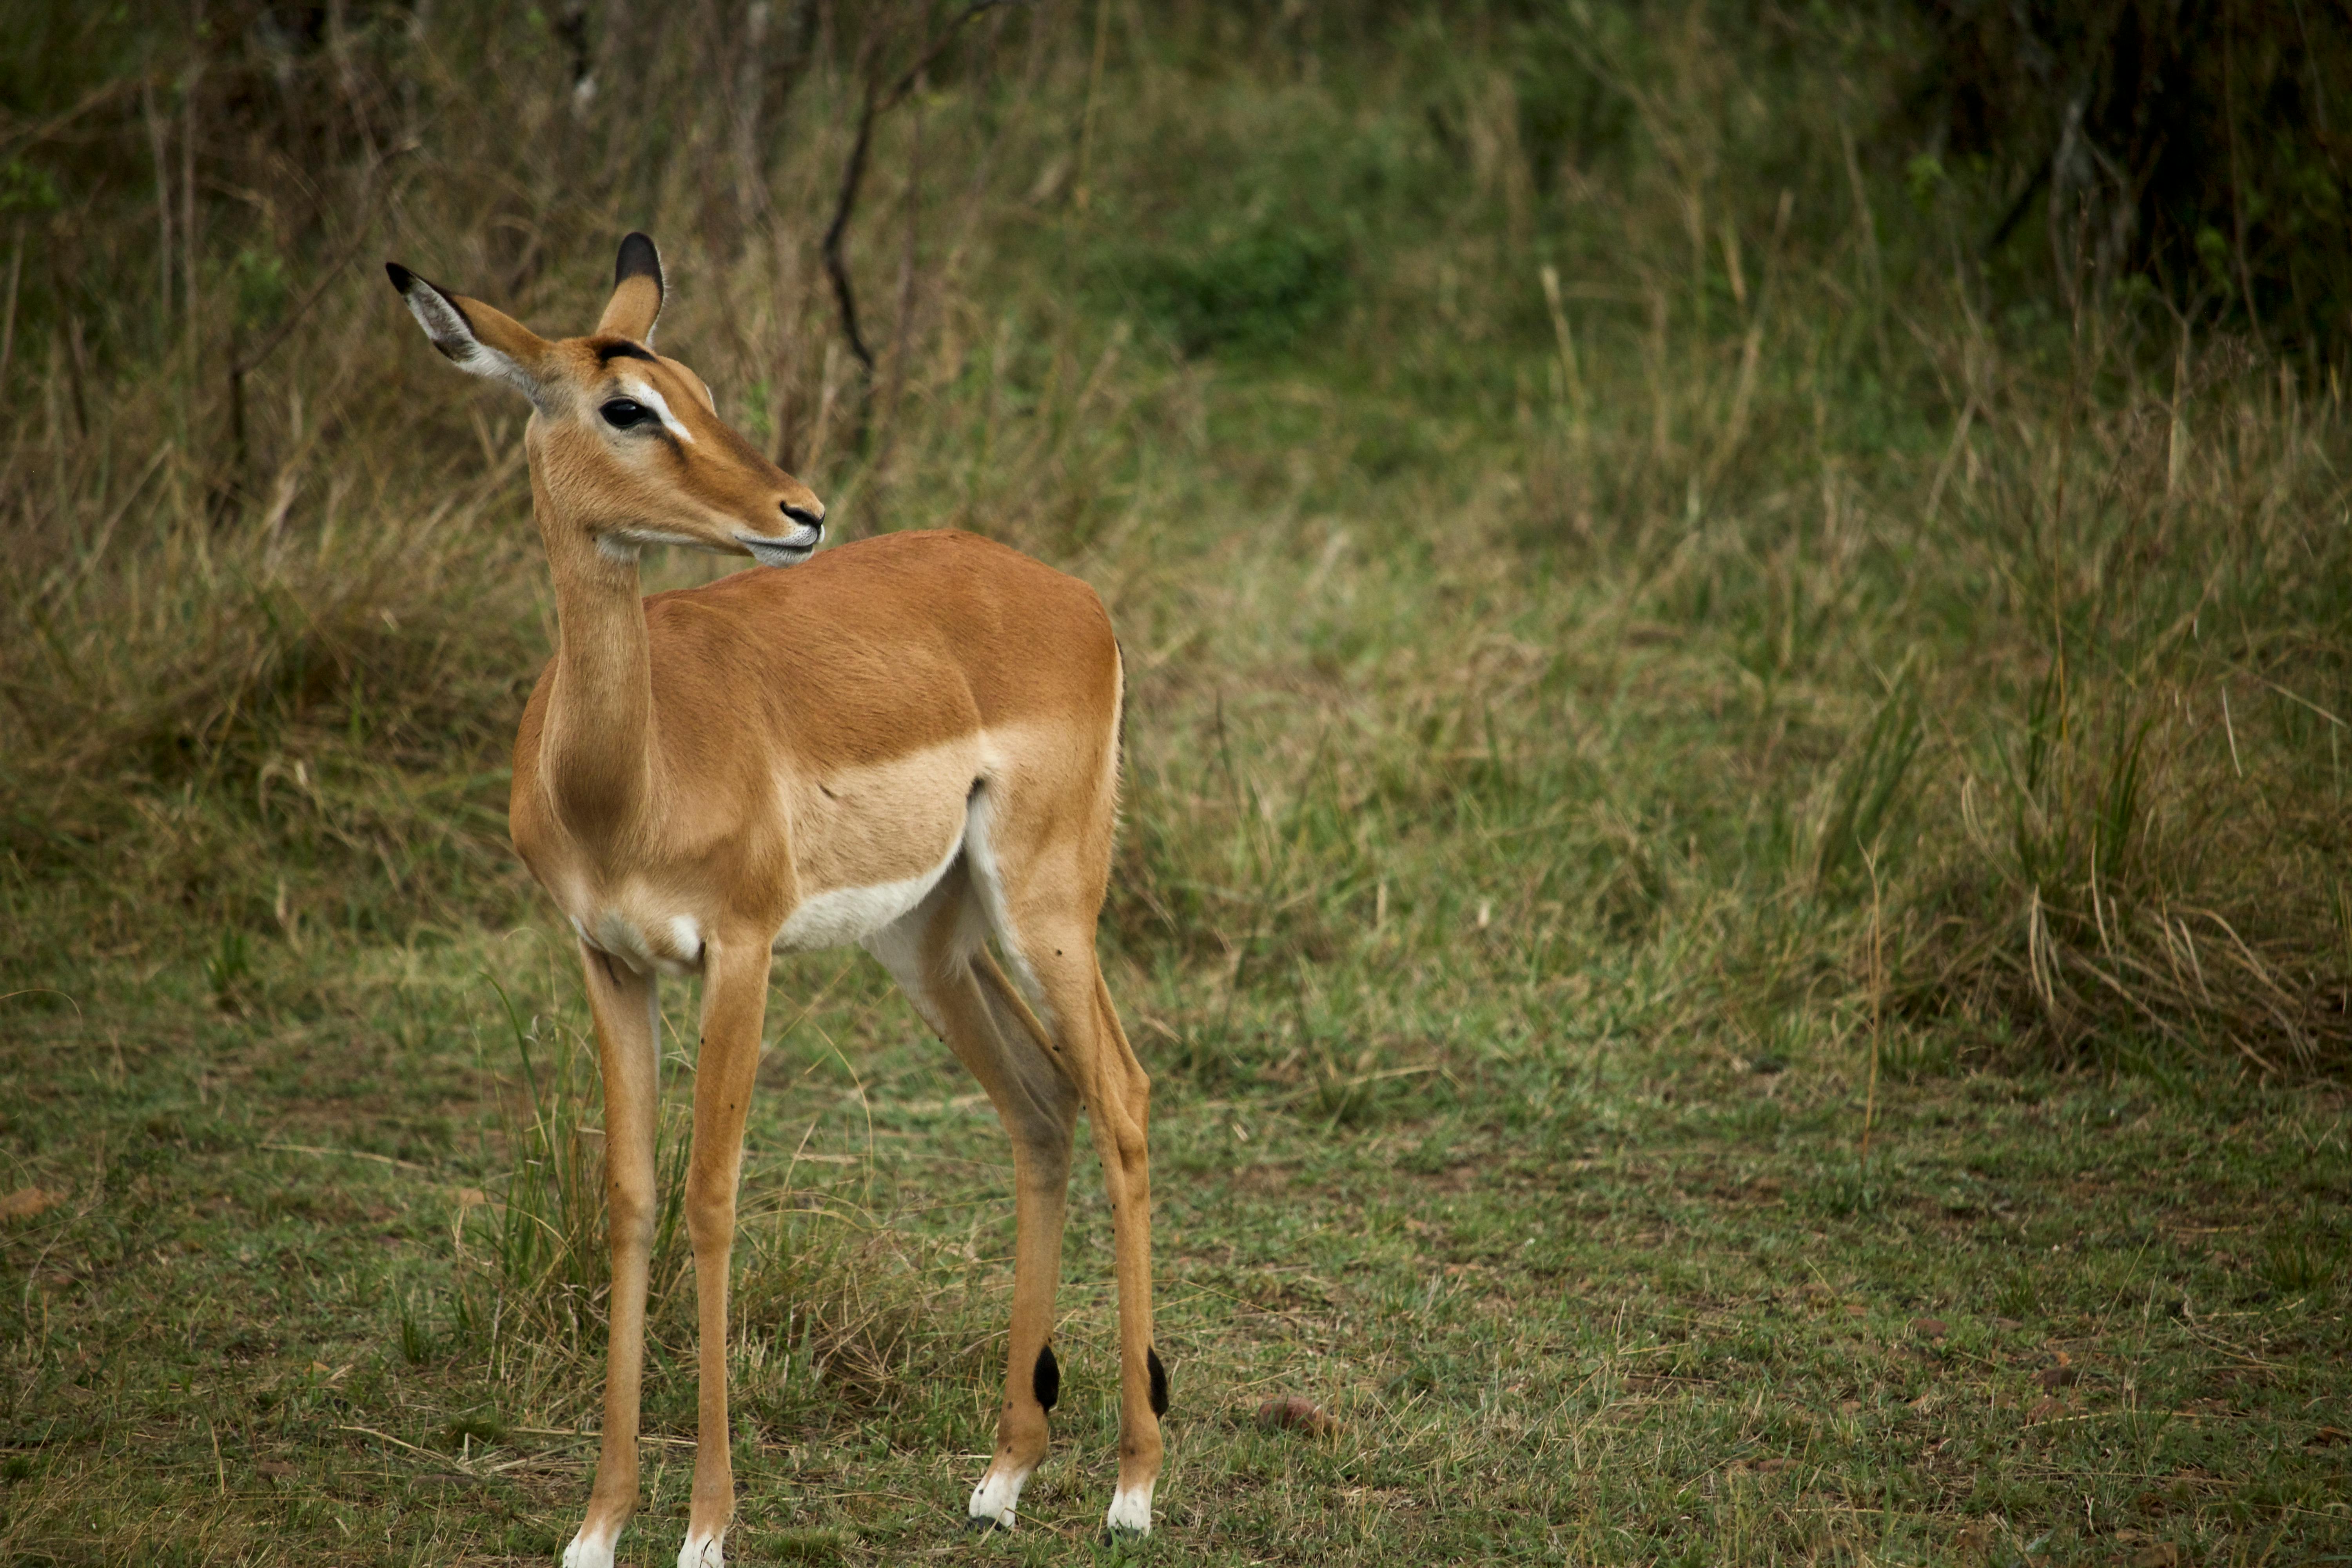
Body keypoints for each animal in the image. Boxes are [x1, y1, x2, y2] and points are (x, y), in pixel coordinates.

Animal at [385, 234, 1164, 1565]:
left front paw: (705, 1529)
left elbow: (712, 1198)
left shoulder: (739, 953)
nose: (799, 512)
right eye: (629, 405)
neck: (626, 777)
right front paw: (597, 1527)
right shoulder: (609, 960)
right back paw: (1003, 1476)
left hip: (1046, 903)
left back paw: (1132, 1489)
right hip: (930, 942)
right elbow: (631, 1198)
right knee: (1040, 1103)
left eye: (694, 386)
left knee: (1120, 1095)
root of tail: (1071, 594)